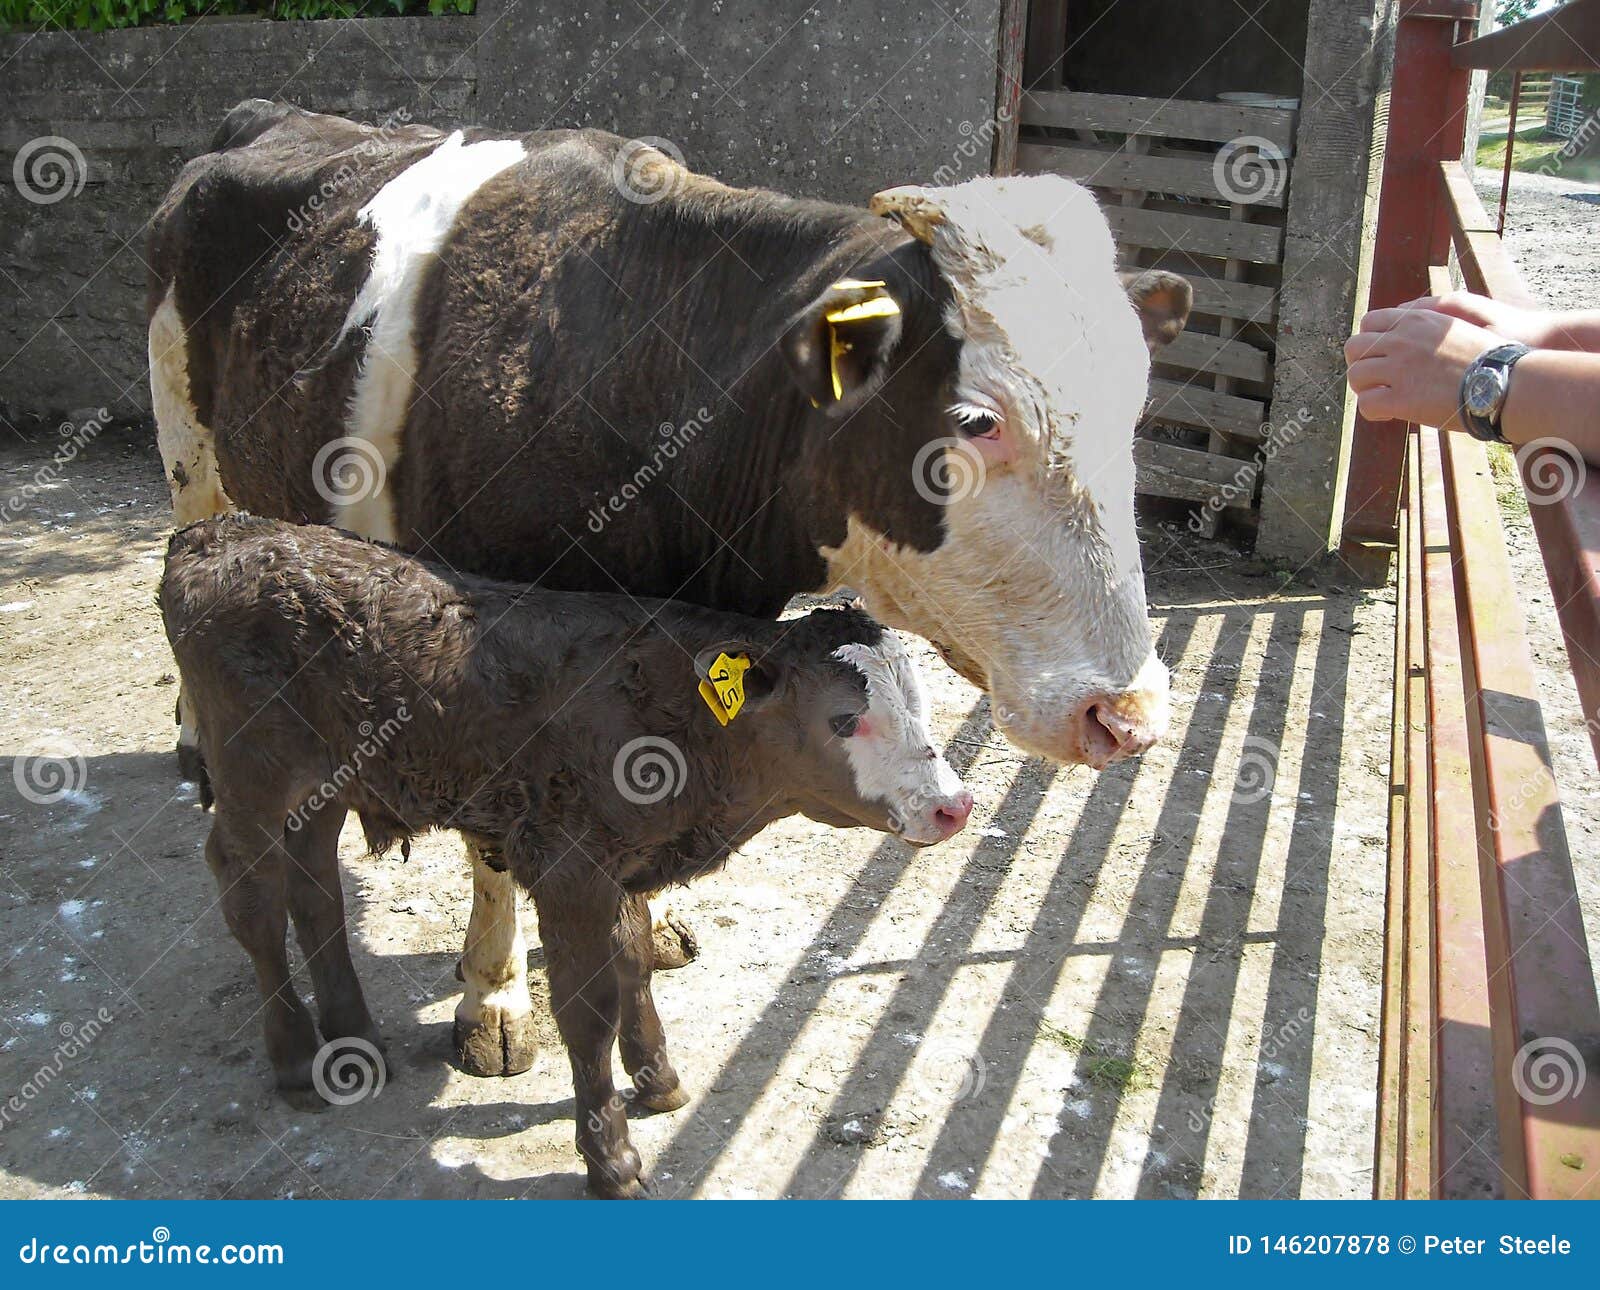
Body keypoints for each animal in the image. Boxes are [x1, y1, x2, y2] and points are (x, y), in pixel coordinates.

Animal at [147, 100, 1190, 1080]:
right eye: (976, 421)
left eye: (1137, 412)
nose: (1128, 712)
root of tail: (268, 118)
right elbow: (493, 852)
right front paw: (494, 1000)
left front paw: (643, 938)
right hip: (184, 446)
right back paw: (196, 746)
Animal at [160, 512, 973, 1197]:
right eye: (844, 719)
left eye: (924, 705)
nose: (953, 805)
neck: (673, 723)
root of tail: (218, 533)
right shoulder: (569, 866)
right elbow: (588, 1006)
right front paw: (610, 1159)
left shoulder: (627, 859)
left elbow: (636, 963)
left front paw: (657, 1079)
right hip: (251, 774)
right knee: (252, 896)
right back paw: (298, 1058)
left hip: (323, 783)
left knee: (315, 886)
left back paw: (353, 1037)